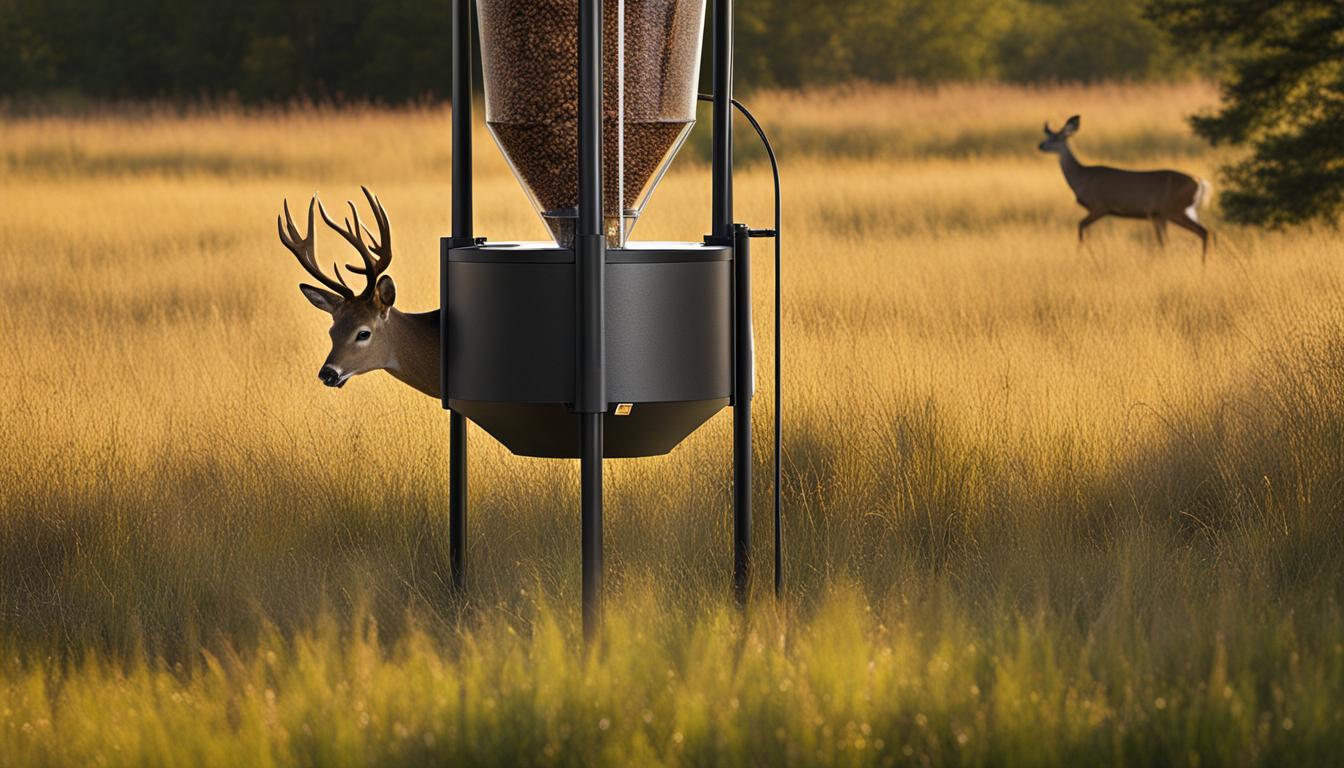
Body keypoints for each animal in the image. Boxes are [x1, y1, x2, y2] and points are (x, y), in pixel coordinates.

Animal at [1039, 115, 1211, 262]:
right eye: (1048, 136)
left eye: (1057, 137)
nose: (1040, 145)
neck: (1081, 177)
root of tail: (1200, 182)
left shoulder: (1099, 206)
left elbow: (1081, 226)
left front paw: (1082, 255)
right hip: (1172, 213)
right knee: (1196, 233)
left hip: (1173, 210)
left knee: (1200, 232)